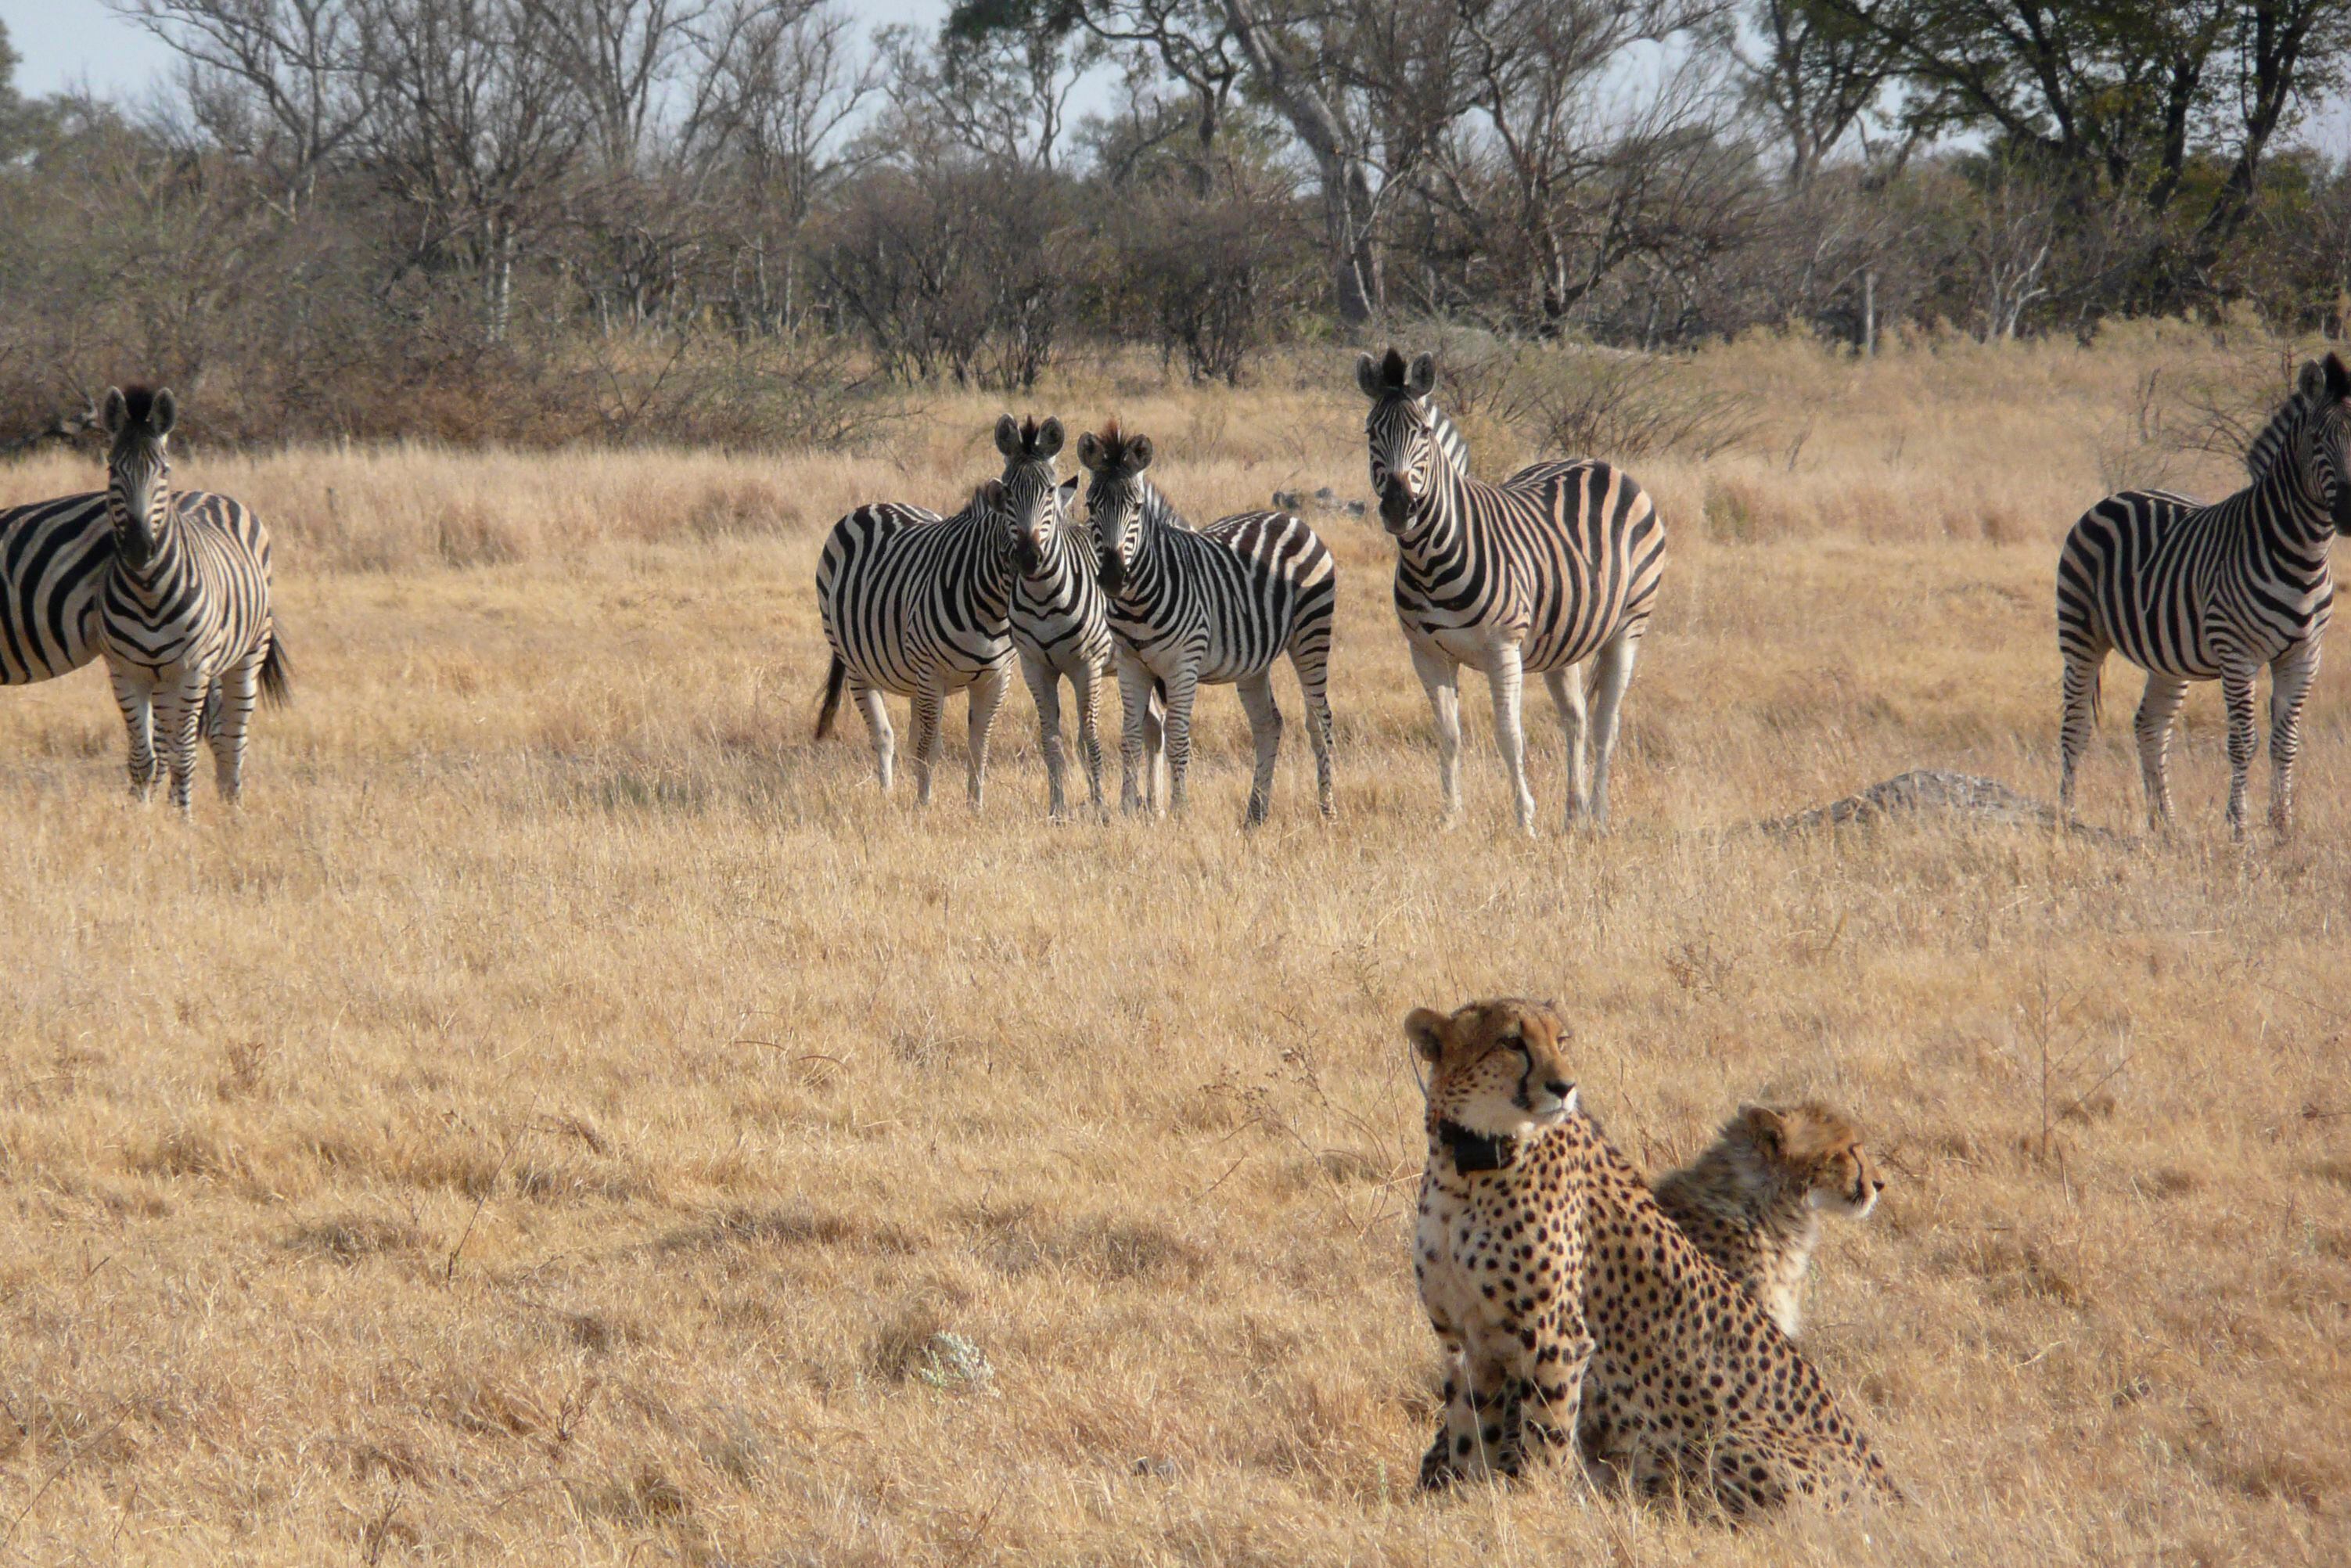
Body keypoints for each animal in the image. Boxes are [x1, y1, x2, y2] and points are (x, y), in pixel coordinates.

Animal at [96, 386, 289, 810]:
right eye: (112, 470)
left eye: (163, 471)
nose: (139, 548)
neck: (148, 594)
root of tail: (209, 494)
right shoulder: (125, 672)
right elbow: (143, 758)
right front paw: (143, 816)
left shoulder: (191, 670)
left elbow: (184, 756)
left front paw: (182, 819)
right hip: (167, 679)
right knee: (172, 741)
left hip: (245, 658)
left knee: (231, 742)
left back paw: (233, 810)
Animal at [814, 422, 1048, 807]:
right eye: (1009, 518)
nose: (1033, 562)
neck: (991, 609)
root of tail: (880, 504)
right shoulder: (933, 674)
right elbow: (931, 746)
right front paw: (924, 804)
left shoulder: (996, 678)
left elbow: (977, 747)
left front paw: (975, 807)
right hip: (857, 662)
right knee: (884, 735)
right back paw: (887, 794)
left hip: (913, 675)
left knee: (911, 735)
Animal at [1077, 421, 1336, 826]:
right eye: (1091, 506)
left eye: (1136, 507)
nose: (1114, 578)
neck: (1137, 602)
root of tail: (1290, 518)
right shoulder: (1131, 665)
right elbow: (1129, 737)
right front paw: (1126, 811)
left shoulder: (1183, 665)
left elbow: (1177, 737)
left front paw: (1179, 812)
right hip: (1254, 661)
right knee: (1268, 724)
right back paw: (1255, 814)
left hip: (1312, 633)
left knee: (1319, 720)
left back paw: (1326, 810)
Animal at [1356, 347, 1666, 834]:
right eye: (1371, 432)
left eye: (1424, 433)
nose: (1399, 509)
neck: (1429, 560)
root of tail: (1601, 463)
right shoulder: (1425, 653)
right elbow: (1448, 735)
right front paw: (1451, 817)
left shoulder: (1503, 648)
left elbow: (1509, 735)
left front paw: (1524, 820)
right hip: (1565, 639)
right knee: (1575, 719)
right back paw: (1574, 812)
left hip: (1629, 626)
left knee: (1605, 724)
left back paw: (1598, 816)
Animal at [2057, 352, 2350, 838]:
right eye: (2317, 440)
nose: (2349, 514)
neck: (2304, 554)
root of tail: (2118, 494)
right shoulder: (2238, 653)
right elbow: (2244, 742)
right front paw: (2239, 827)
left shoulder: (2304, 655)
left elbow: (2285, 742)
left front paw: (2282, 827)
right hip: (2080, 635)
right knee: (2076, 724)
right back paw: (2067, 815)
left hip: (2168, 657)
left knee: (2150, 726)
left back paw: (2166, 823)